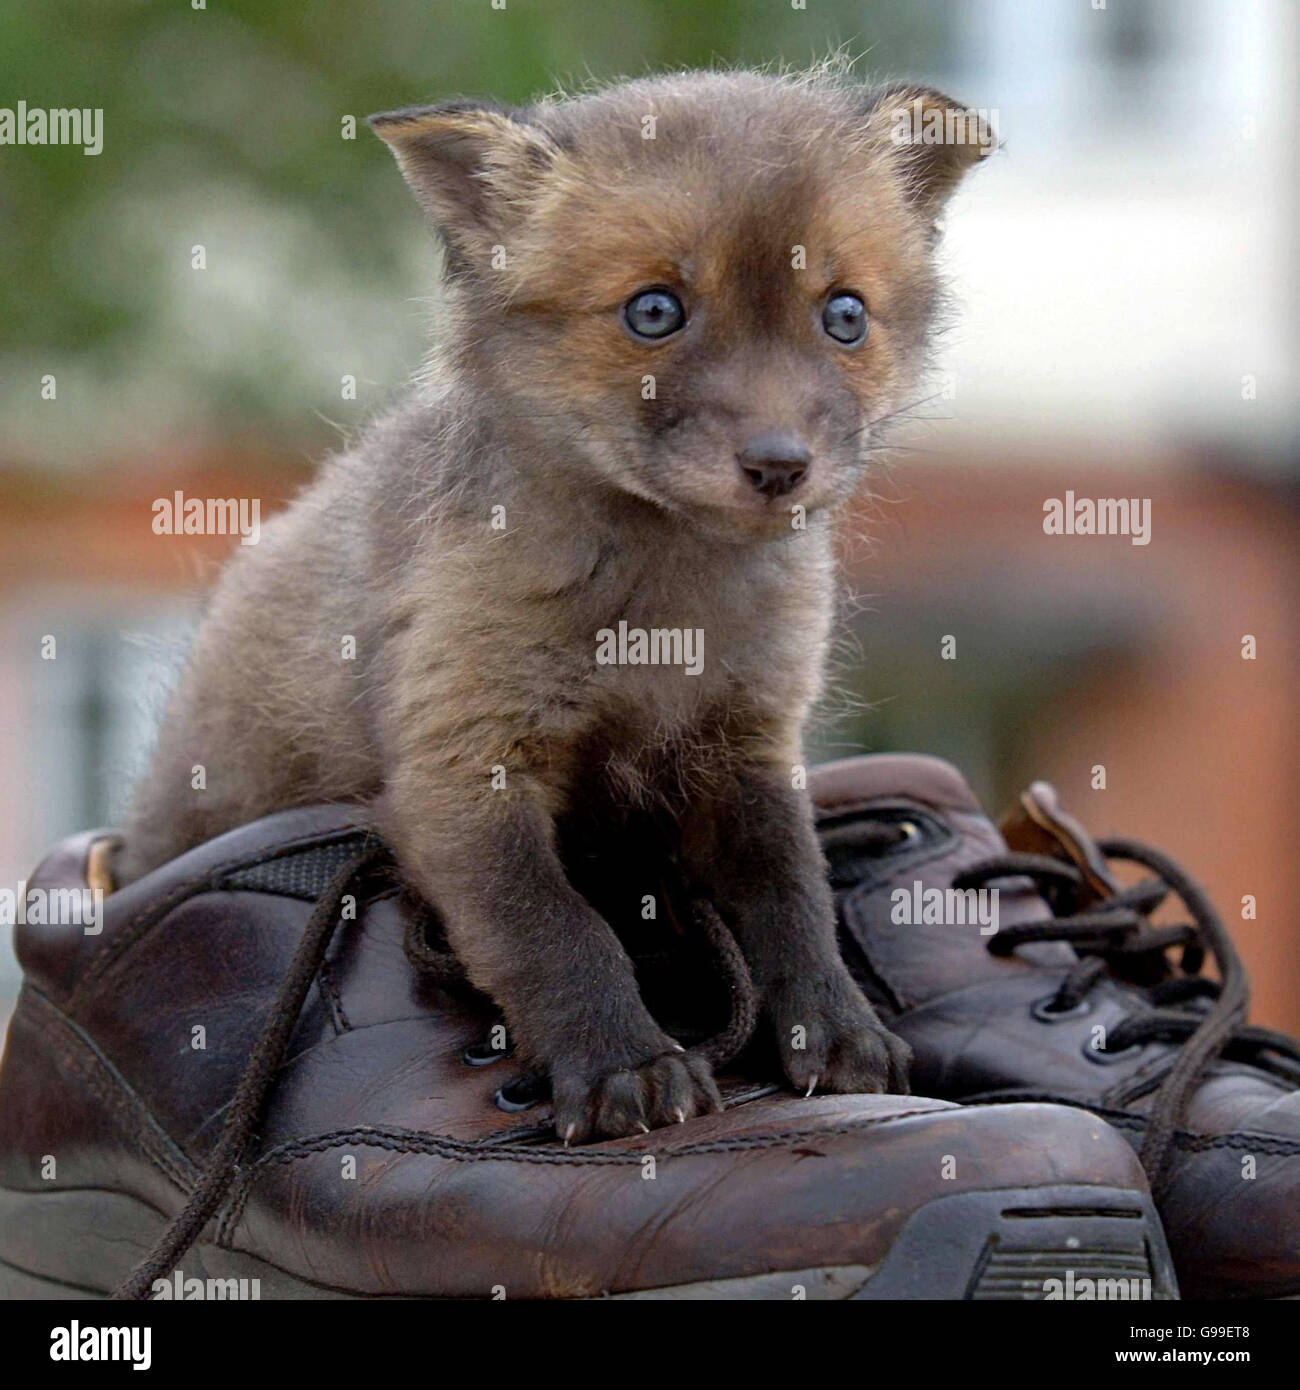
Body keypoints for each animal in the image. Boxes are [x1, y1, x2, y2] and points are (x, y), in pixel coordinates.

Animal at [119, 66, 993, 1142]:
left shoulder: (747, 746)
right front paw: (623, 1063)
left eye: (844, 317)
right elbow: (555, 926)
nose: (780, 466)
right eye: (654, 311)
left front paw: (834, 1031)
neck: (667, 608)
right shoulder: (463, 760)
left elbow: (794, 899)